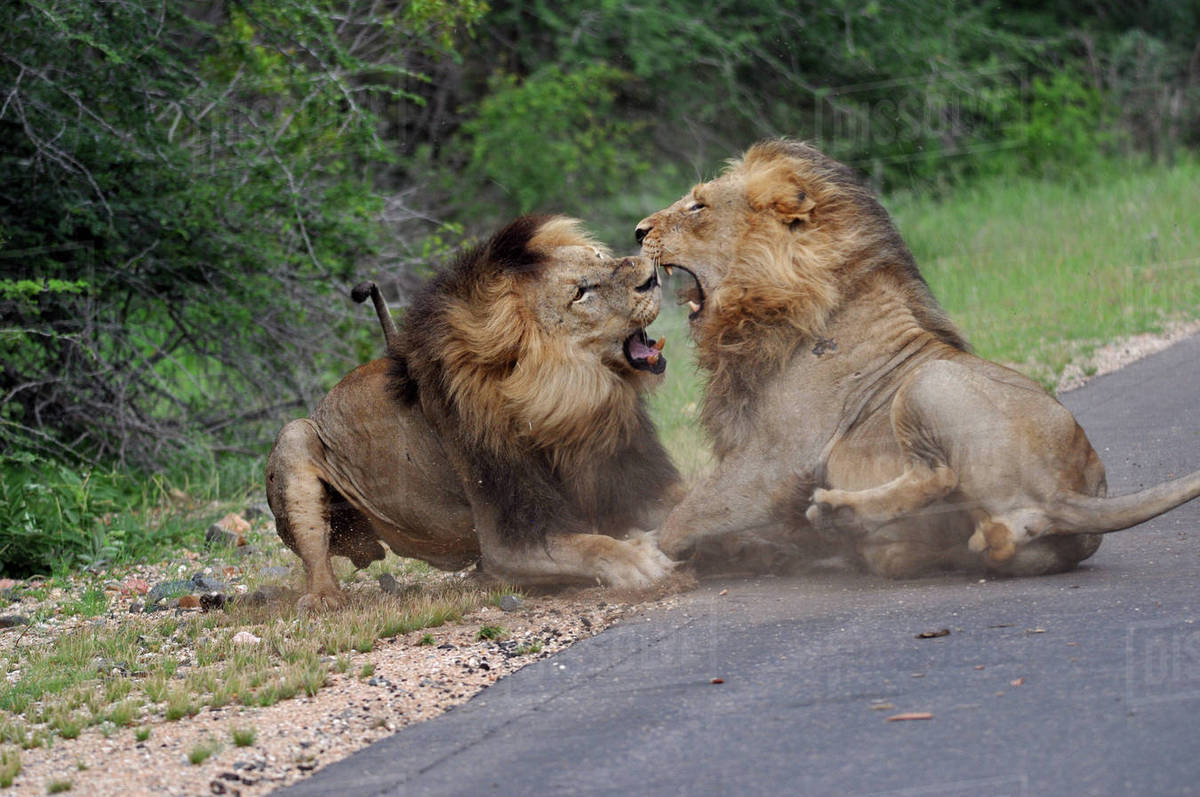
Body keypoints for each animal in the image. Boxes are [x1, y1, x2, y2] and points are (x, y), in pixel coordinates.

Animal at [266, 215, 681, 610]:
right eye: (580, 293)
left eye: (599, 258)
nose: (651, 277)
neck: (572, 402)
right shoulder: (509, 540)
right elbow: (590, 545)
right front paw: (639, 559)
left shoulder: (630, 474)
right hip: (294, 436)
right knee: (316, 558)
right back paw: (325, 598)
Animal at [635, 139, 1200, 577]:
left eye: (698, 207)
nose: (639, 232)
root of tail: (1074, 494)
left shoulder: (775, 459)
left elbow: (685, 516)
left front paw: (648, 553)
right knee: (986, 533)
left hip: (928, 380)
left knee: (941, 477)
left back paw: (838, 513)